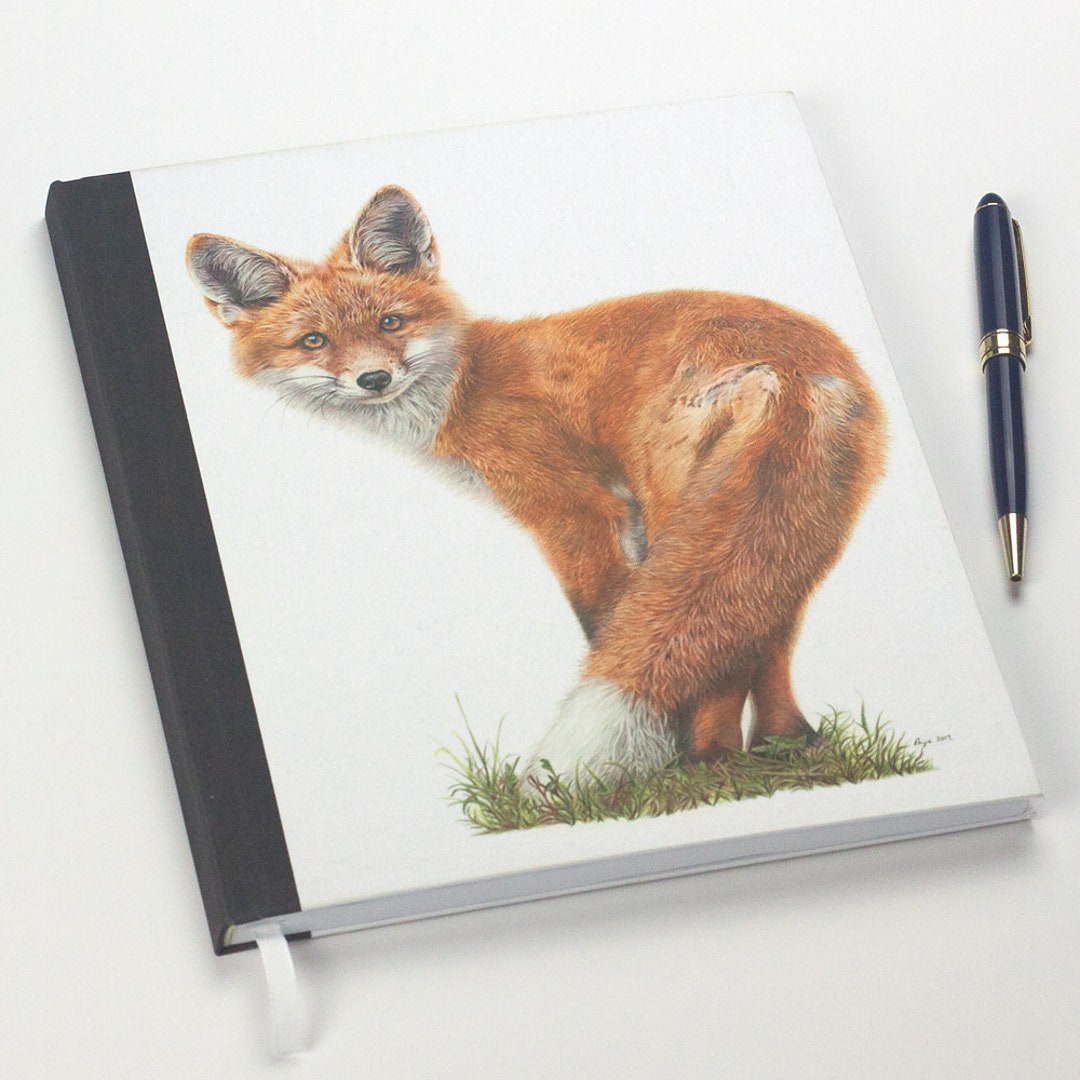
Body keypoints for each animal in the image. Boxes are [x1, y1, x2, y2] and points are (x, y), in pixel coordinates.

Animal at [186, 185, 887, 787]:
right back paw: (780, 745)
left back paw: (706, 759)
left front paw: (644, 756)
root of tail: (792, 368)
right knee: (766, 626)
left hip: (686, 508)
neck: (461, 388)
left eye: (390, 322)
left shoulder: (573, 510)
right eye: (314, 341)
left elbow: (607, 623)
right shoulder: (628, 516)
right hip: (783, 524)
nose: (373, 379)